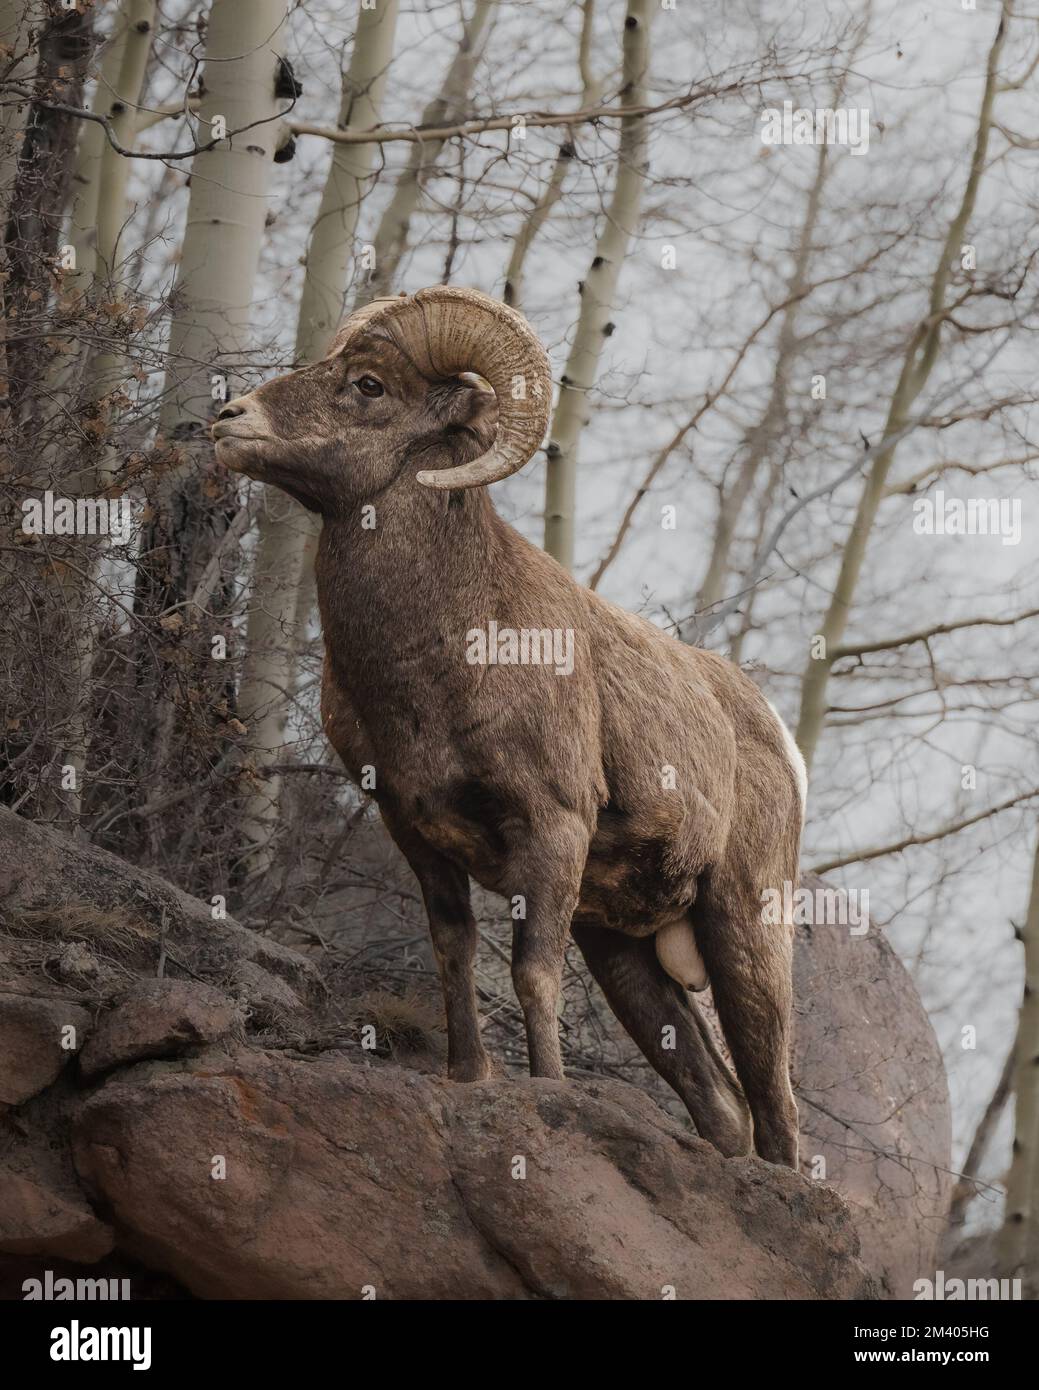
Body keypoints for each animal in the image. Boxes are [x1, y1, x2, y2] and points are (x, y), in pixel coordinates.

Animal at [213, 286, 804, 1167]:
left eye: (368, 385)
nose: (228, 416)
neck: (444, 654)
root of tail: (773, 736)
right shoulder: (414, 829)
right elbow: (453, 951)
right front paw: (467, 1076)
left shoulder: (551, 831)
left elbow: (532, 973)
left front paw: (548, 1091)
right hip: (624, 950)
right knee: (721, 1108)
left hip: (744, 931)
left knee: (775, 1109)